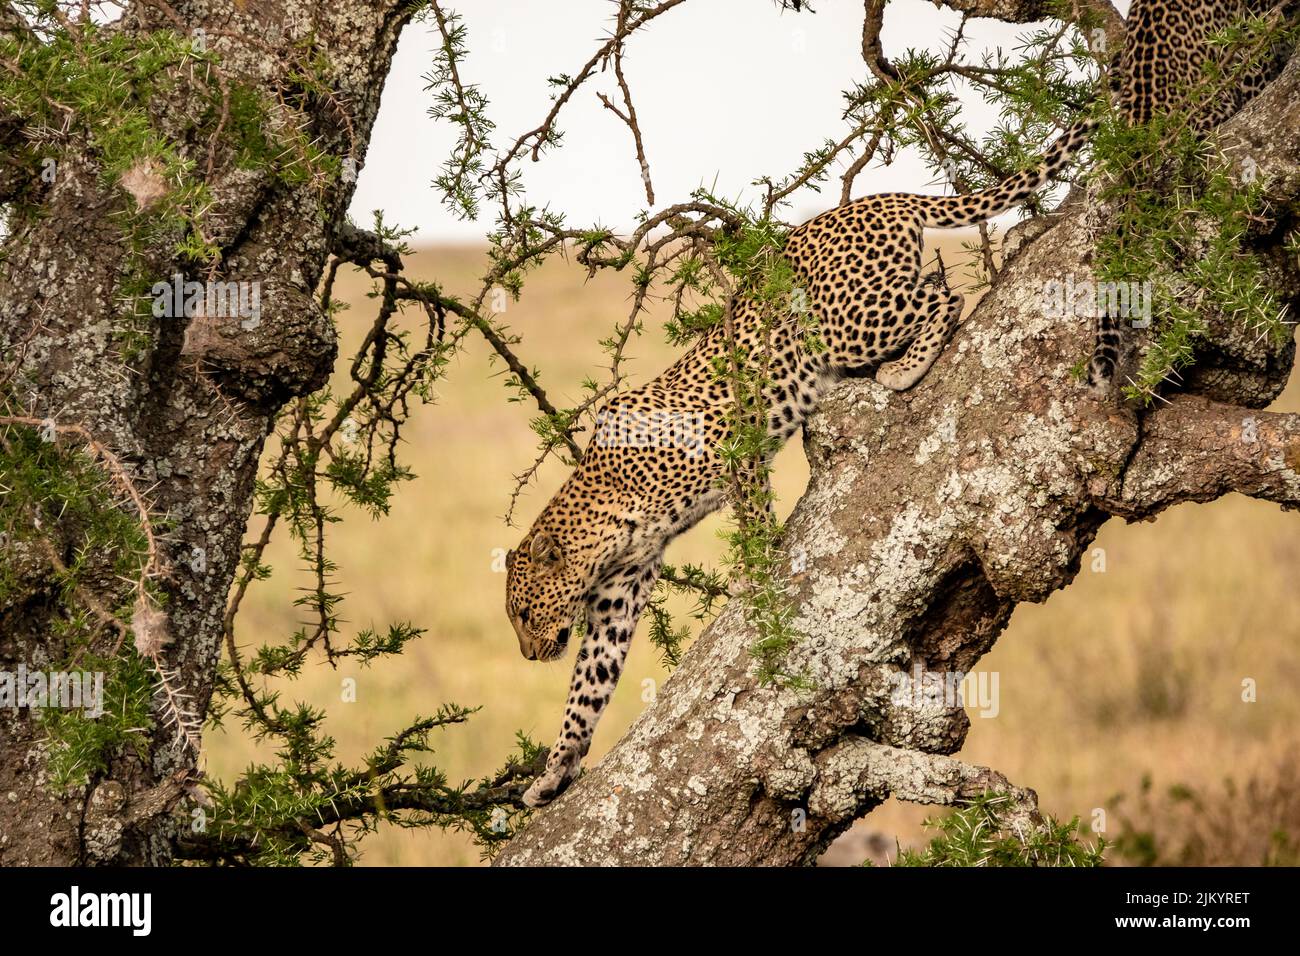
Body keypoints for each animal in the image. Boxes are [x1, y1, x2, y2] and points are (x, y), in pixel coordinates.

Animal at [506, 115, 1095, 808]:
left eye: (523, 614)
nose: (528, 654)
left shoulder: (729, 443)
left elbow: (755, 519)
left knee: (939, 297)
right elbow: (588, 685)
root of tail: (878, 199)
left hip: (843, 321)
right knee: (938, 286)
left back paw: (903, 369)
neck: (602, 519)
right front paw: (555, 771)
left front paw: (760, 575)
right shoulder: (620, 590)